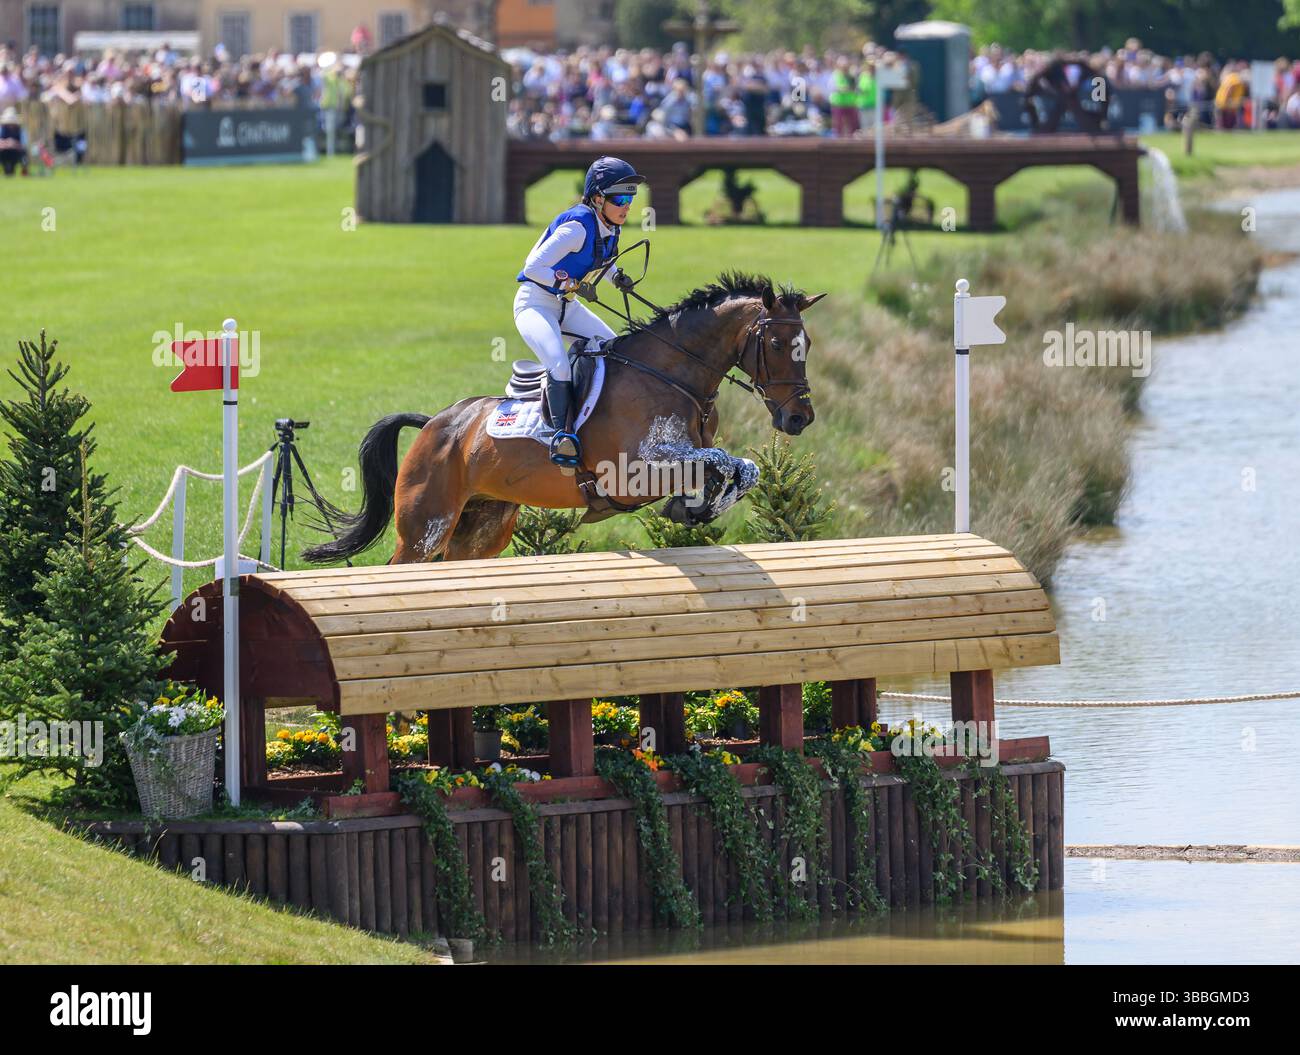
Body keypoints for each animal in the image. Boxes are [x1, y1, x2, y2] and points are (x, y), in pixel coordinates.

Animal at [302, 272, 826, 566]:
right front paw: (692, 506)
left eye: (808, 345)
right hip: (426, 523)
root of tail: (436, 423)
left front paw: (695, 507)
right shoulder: (632, 472)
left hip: (484, 524)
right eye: (777, 344)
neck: (673, 375)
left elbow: (740, 467)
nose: (799, 417)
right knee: (403, 562)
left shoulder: (680, 456)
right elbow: (721, 460)